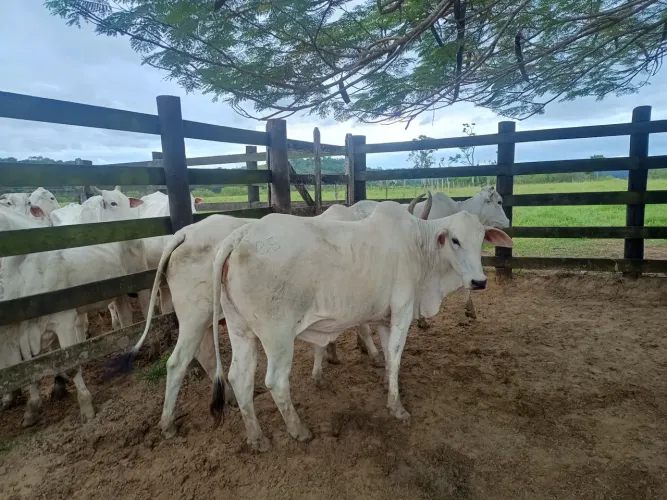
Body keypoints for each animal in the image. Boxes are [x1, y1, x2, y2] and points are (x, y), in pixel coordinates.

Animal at [209, 202, 513, 452]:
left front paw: (388, 384)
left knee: (239, 378)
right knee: (276, 381)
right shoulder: (402, 312)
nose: (479, 281)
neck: (419, 245)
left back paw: (257, 437)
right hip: (278, 336)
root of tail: (243, 233)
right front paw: (397, 407)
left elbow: (388, 357)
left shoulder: (384, 319)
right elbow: (396, 356)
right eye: (455, 240)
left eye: (481, 239)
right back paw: (299, 430)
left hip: (240, 329)